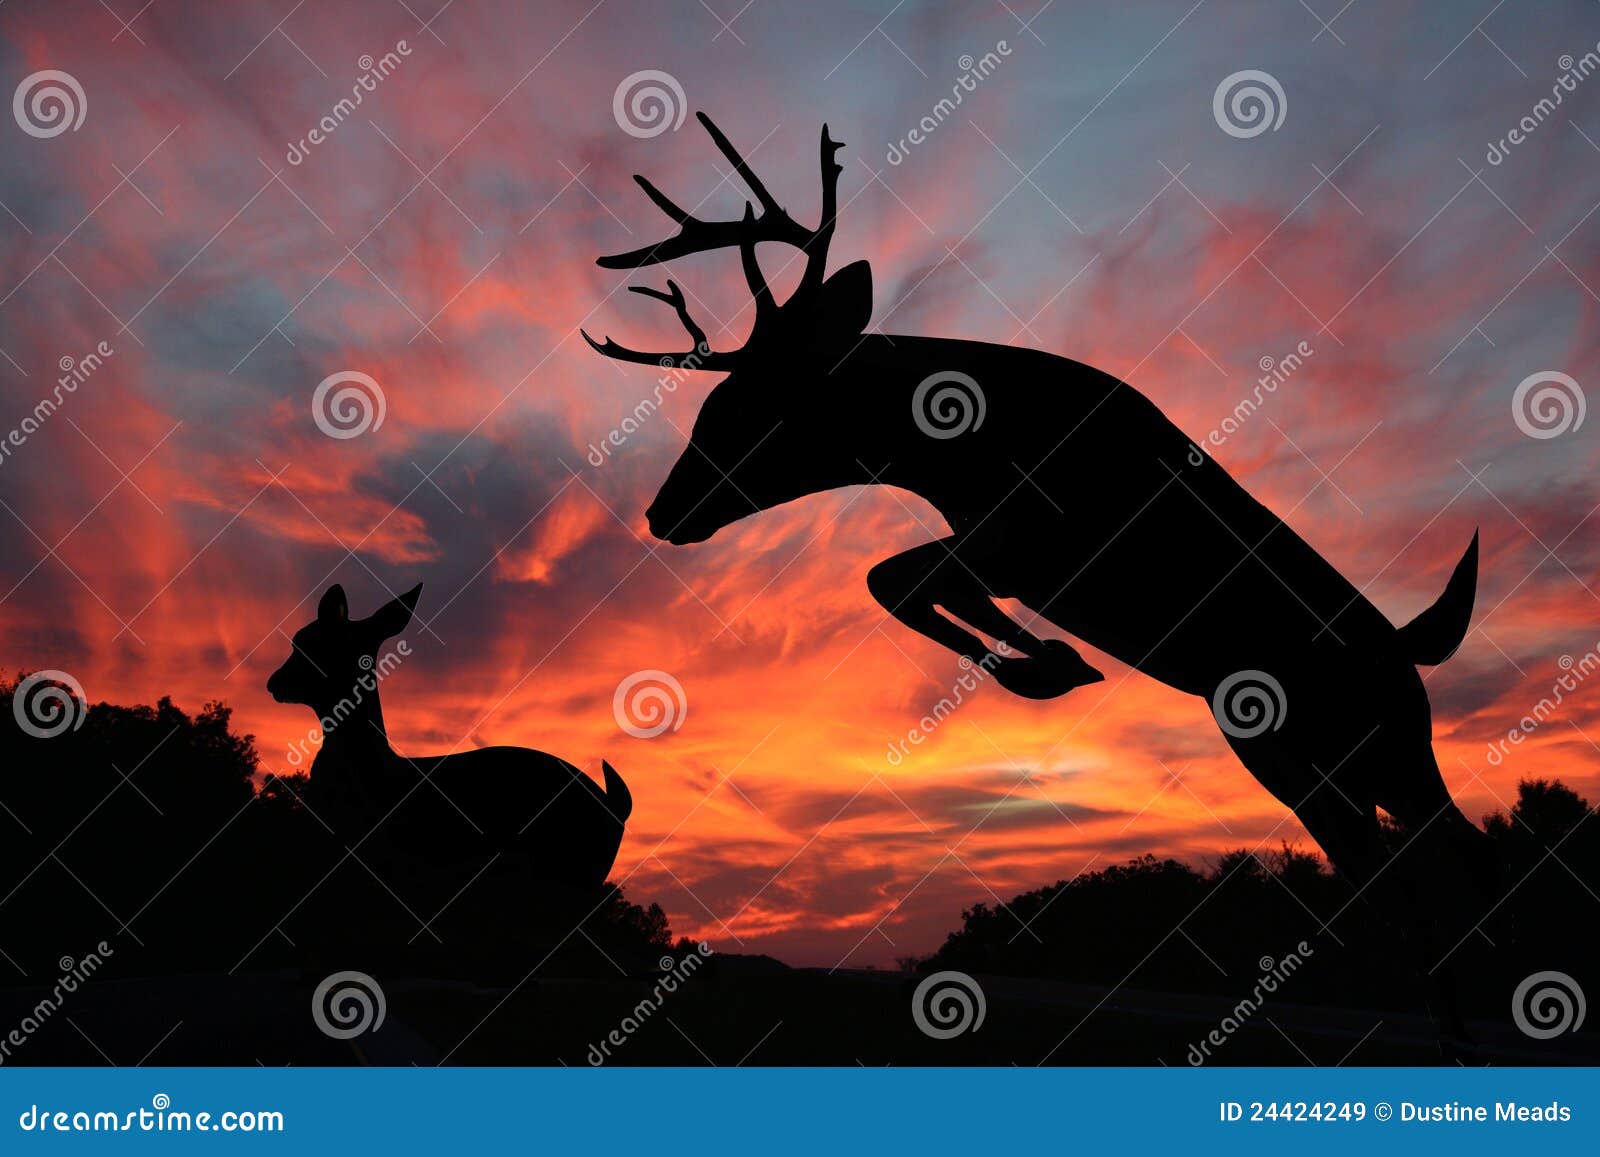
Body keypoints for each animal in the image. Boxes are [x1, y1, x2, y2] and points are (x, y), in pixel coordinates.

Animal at [585, 113, 1500, 1049]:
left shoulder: (1037, 535)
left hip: (1383, 740)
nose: (663, 511)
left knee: (1457, 855)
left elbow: (893, 575)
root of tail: (1410, 645)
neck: (954, 440)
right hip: (1296, 753)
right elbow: (896, 578)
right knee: (1399, 881)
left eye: (742, 407)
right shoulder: (994, 540)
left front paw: (1049, 663)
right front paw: (1046, 663)